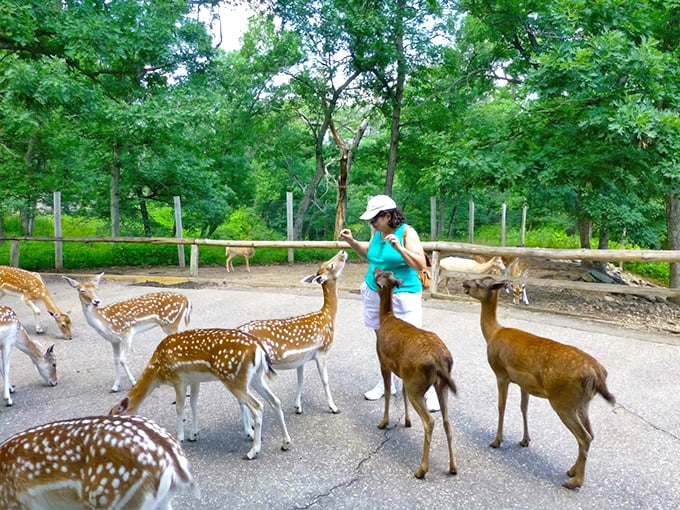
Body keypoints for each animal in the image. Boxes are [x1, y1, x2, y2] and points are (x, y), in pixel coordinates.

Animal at [63, 273, 192, 392]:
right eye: (82, 290)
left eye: (97, 288)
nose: (96, 301)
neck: (104, 321)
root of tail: (186, 298)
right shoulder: (113, 340)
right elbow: (115, 360)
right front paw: (115, 386)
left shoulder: (126, 333)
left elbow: (122, 359)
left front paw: (133, 382)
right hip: (169, 324)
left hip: (171, 322)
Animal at [109, 328, 292, 460]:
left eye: (116, 415)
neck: (158, 372)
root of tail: (259, 349)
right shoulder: (194, 380)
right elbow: (194, 402)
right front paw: (194, 434)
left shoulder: (178, 379)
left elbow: (180, 408)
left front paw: (180, 438)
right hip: (255, 377)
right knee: (275, 401)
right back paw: (286, 443)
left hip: (234, 378)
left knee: (258, 406)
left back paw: (253, 452)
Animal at [237, 250, 347, 417]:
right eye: (331, 265)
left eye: (326, 264)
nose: (342, 251)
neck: (327, 316)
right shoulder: (322, 351)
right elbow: (325, 380)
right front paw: (333, 407)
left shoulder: (301, 359)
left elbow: (300, 380)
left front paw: (298, 407)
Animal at [373, 268, 458, 479]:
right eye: (387, 272)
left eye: (379, 274)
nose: (375, 269)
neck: (386, 318)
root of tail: (439, 359)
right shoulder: (404, 373)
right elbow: (401, 392)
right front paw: (407, 421)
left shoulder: (383, 362)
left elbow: (388, 392)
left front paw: (384, 422)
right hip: (439, 384)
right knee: (447, 420)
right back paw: (453, 467)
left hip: (417, 384)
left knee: (430, 421)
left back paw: (421, 469)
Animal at [462, 276, 616, 489]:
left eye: (478, 283)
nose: (464, 283)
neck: (492, 334)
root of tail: (598, 374)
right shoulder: (523, 383)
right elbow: (523, 407)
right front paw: (525, 440)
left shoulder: (501, 373)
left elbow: (501, 406)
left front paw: (497, 441)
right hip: (583, 403)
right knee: (591, 434)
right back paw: (572, 471)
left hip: (563, 401)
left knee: (584, 437)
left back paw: (575, 481)